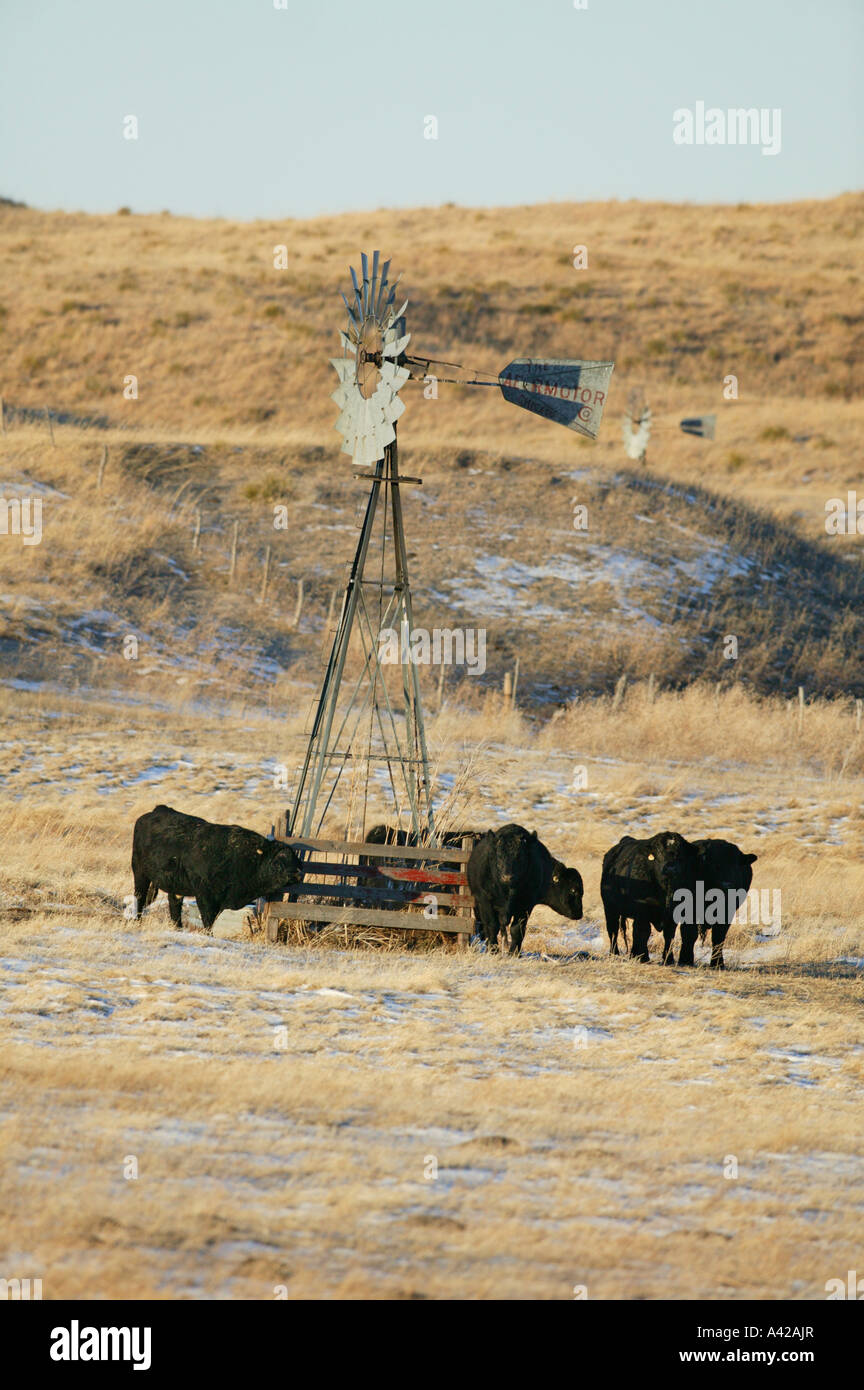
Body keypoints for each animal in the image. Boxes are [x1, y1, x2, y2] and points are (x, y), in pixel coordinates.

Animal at [131, 804, 302, 932]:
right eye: (278, 862)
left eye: (297, 860)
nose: (297, 873)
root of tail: (157, 810)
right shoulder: (205, 896)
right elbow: (208, 920)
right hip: (139, 872)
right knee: (140, 897)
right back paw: (137, 920)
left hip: (175, 884)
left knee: (174, 905)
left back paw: (178, 928)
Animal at [467, 823, 584, 956]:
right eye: (573, 890)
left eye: (520, 857)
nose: (579, 913)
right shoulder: (485, 900)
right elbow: (491, 926)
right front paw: (493, 952)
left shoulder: (526, 905)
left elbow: (517, 930)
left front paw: (513, 953)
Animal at [601, 831, 699, 964]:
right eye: (657, 855)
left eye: (680, 856)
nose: (670, 869)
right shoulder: (642, 908)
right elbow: (643, 931)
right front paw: (643, 957)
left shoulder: (674, 911)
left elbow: (669, 934)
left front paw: (668, 959)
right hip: (610, 909)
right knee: (613, 930)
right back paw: (615, 953)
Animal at [680, 838, 758, 969]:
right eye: (714, 866)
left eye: (736, 867)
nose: (727, 885)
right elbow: (689, 933)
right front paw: (685, 960)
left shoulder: (726, 913)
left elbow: (718, 937)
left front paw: (717, 963)